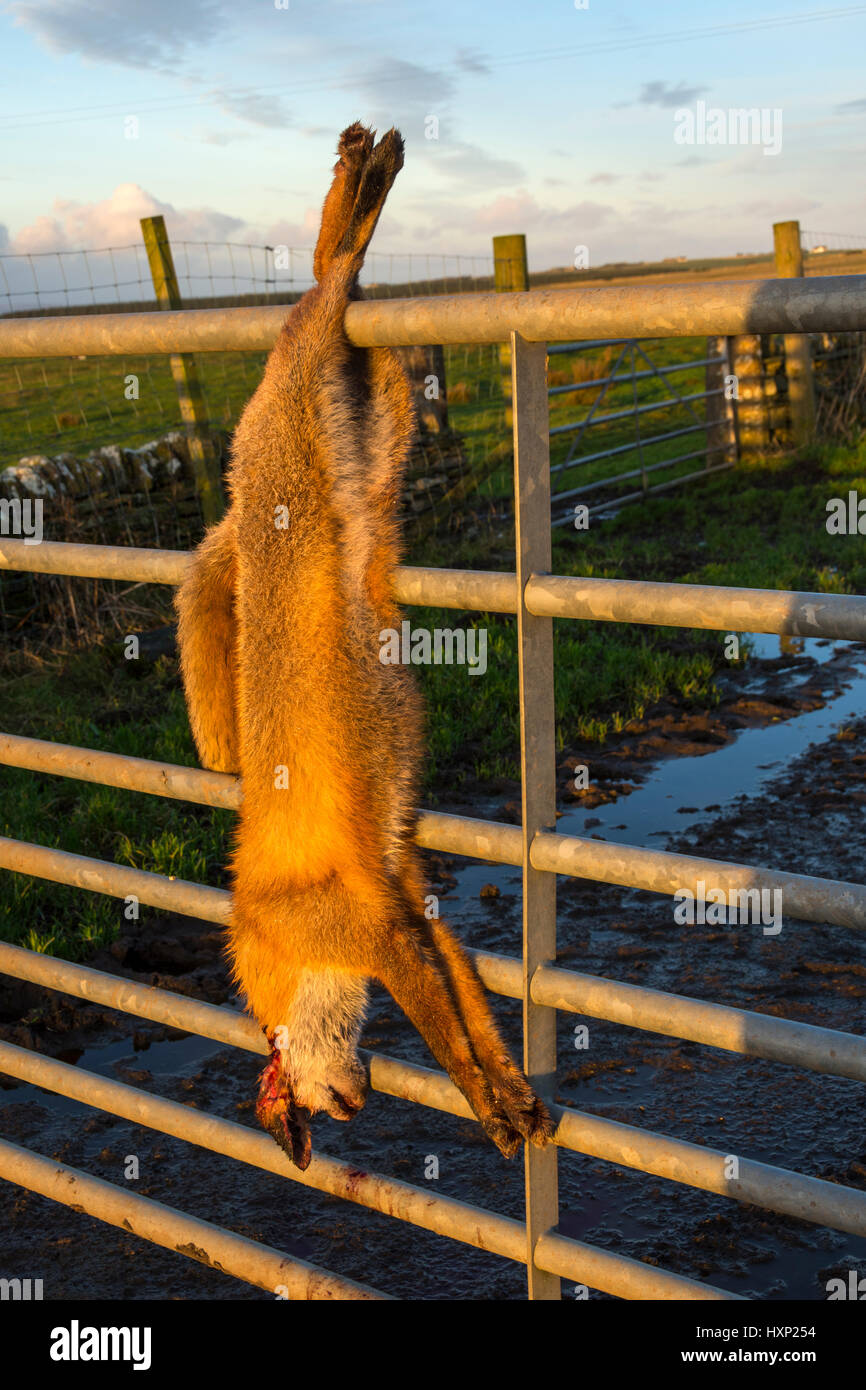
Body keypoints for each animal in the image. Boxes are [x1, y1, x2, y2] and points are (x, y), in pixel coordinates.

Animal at [175, 123, 554, 1170]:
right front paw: (508, 1099)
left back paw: (351, 202)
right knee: (344, 310)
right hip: (386, 411)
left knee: (321, 292)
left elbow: (444, 1034)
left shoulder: (370, 930)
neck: (267, 926)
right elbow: (471, 1011)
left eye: (304, 1098)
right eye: (334, 1112)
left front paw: (480, 1097)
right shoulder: (407, 895)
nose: (349, 1107)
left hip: (313, 386)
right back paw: (362, 192)